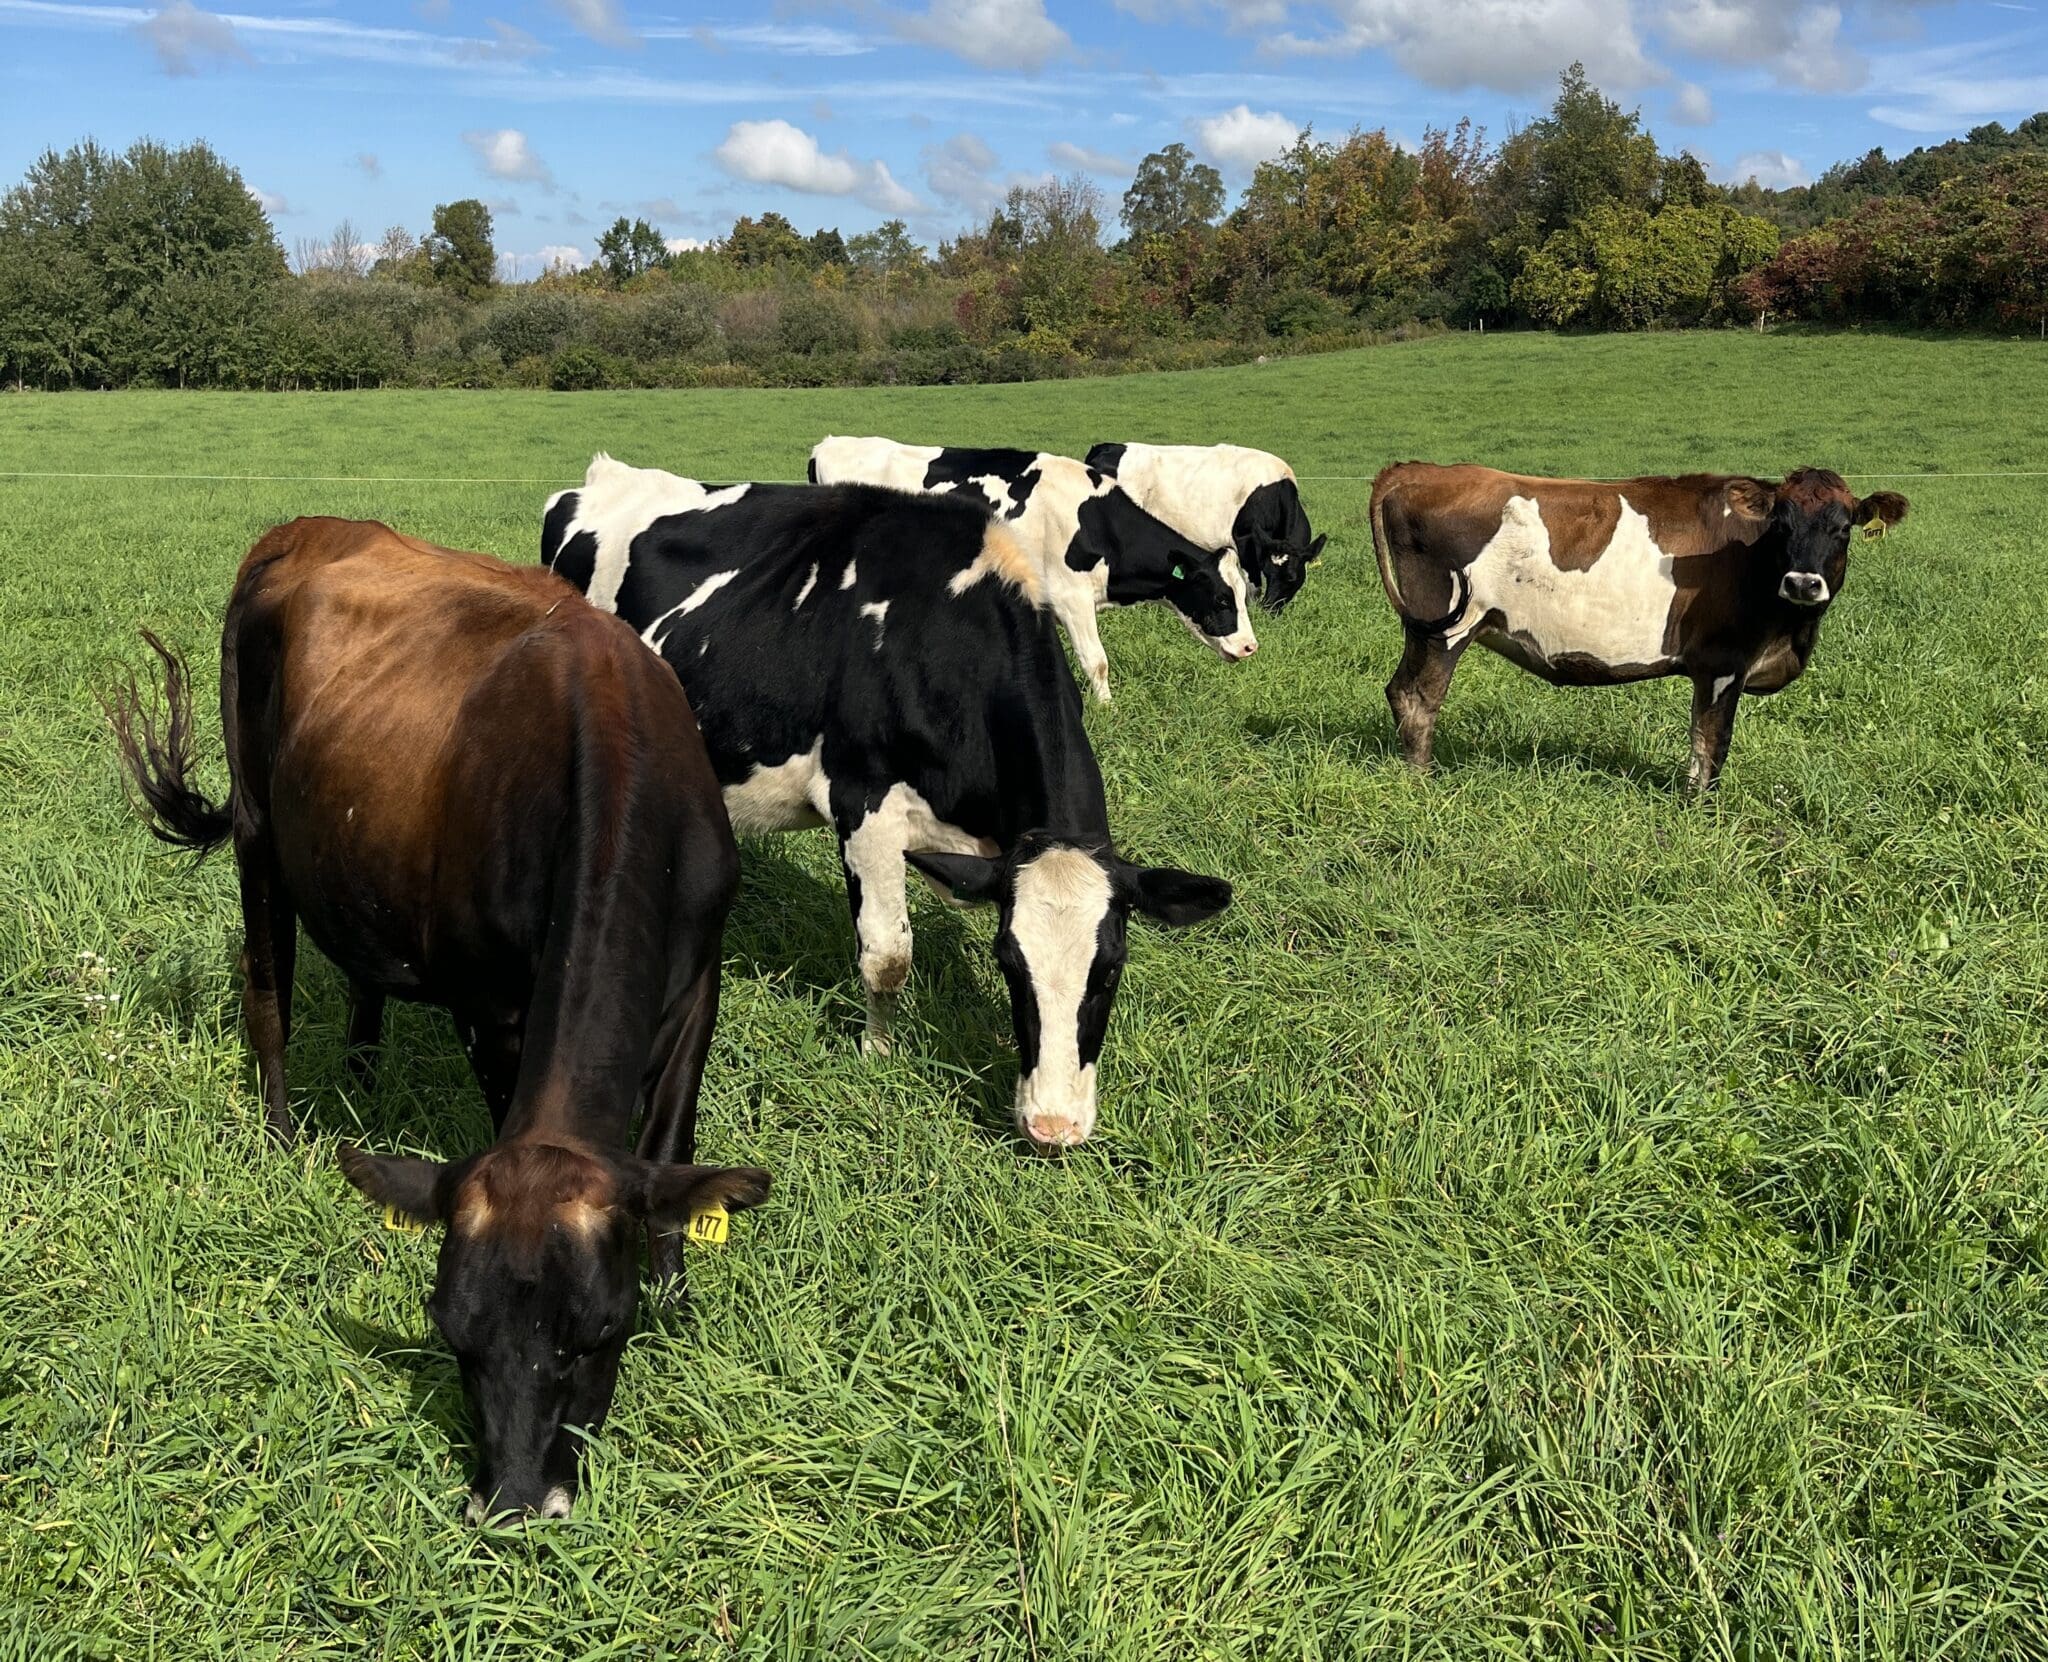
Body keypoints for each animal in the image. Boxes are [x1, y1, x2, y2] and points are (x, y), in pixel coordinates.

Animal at [104, 517, 770, 1524]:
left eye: (600, 1331)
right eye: (451, 1333)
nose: (518, 1501)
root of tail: (300, 530)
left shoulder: (702, 980)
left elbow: (670, 1147)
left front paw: (676, 1294)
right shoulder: (489, 1006)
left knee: (359, 970)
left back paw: (363, 1075)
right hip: (260, 825)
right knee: (268, 983)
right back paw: (282, 1128)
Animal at [542, 459, 1234, 1149]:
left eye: (1112, 967)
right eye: (1010, 964)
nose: (1053, 1126)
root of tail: (603, 474)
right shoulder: (863, 803)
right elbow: (887, 955)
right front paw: (878, 1054)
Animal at [806, 436, 1258, 702]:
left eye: (1242, 594)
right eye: (1222, 598)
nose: (1250, 647)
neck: (1094, 520)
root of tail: (829, 443)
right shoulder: (1072, 598)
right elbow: (1096, 660)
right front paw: (1107, 709)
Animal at [1084, 442, 1326, 612]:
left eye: (1291, 577)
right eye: (1269, 572)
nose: (1270, 610)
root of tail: (1105, 447)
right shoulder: (1245, 538)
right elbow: (1253, 584)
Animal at [1367, 465, 1910, 790]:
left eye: (1843, 528)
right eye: (1781, 525)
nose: (1802, 582)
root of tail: (1417, 469)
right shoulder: (1723, 660)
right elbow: (1711, 741)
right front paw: (1700, 810)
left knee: (1400, 691)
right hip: (1445, 626)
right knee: (1418, 698)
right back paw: (1422, 784)